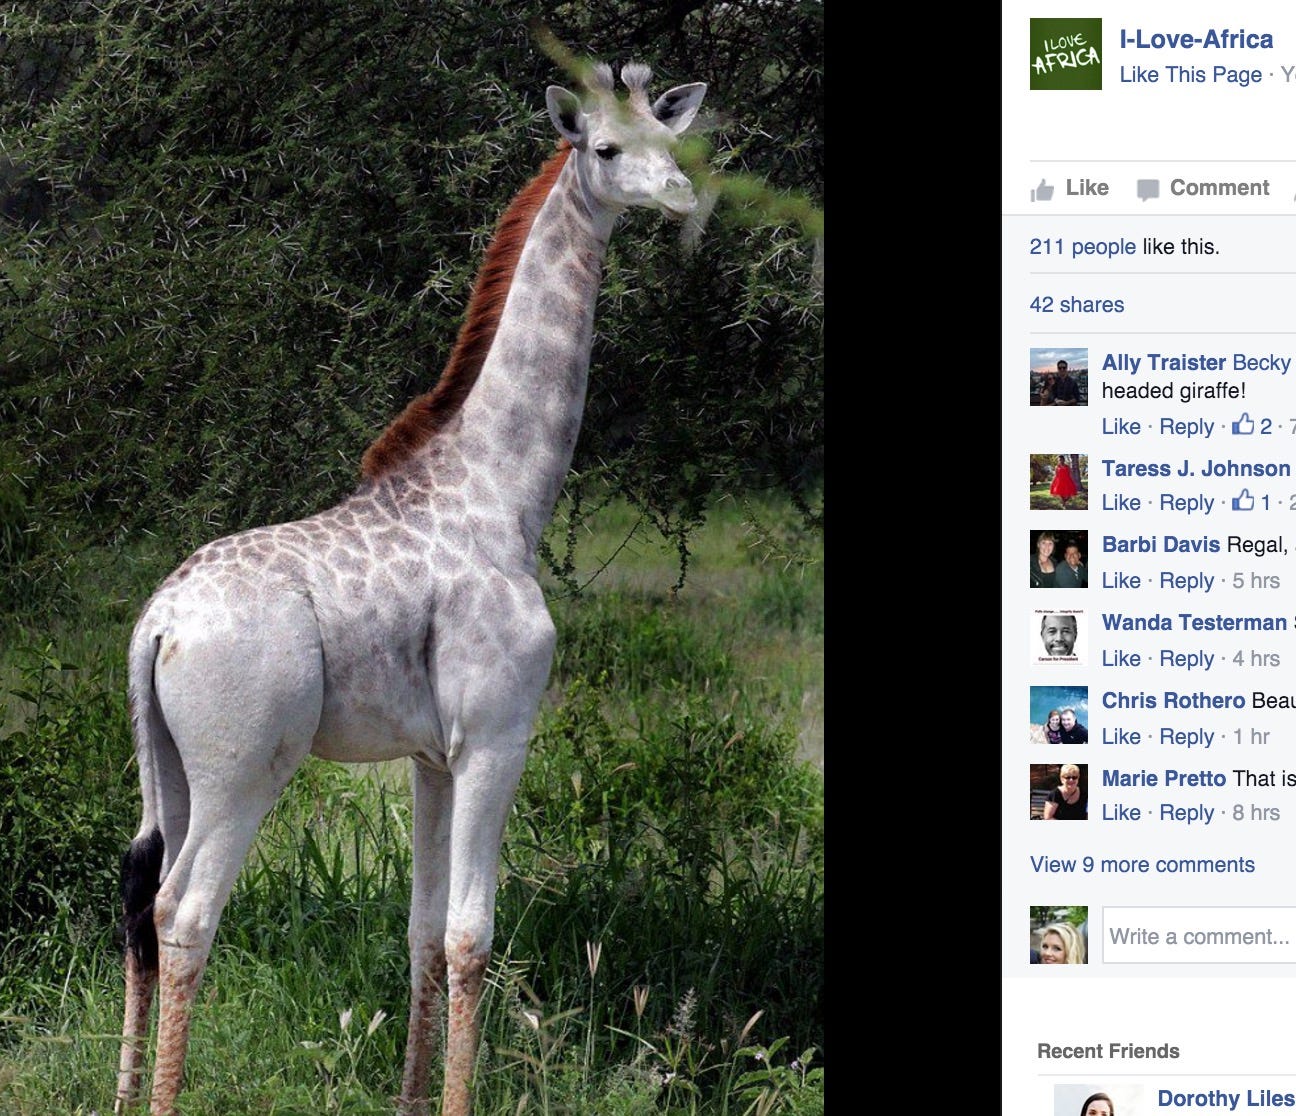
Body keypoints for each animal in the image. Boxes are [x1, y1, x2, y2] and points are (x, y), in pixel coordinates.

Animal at [112, 62, 706, 1116]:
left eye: (671, 140)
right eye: (605, 147)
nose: (678, 195)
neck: (504, 495)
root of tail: (159, 624)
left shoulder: (431, 755)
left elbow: (423, 934)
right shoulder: (496, 736)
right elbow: (472, 938)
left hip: (169, 767)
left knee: (143, 899)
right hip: (243, 768)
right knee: (186, 913)